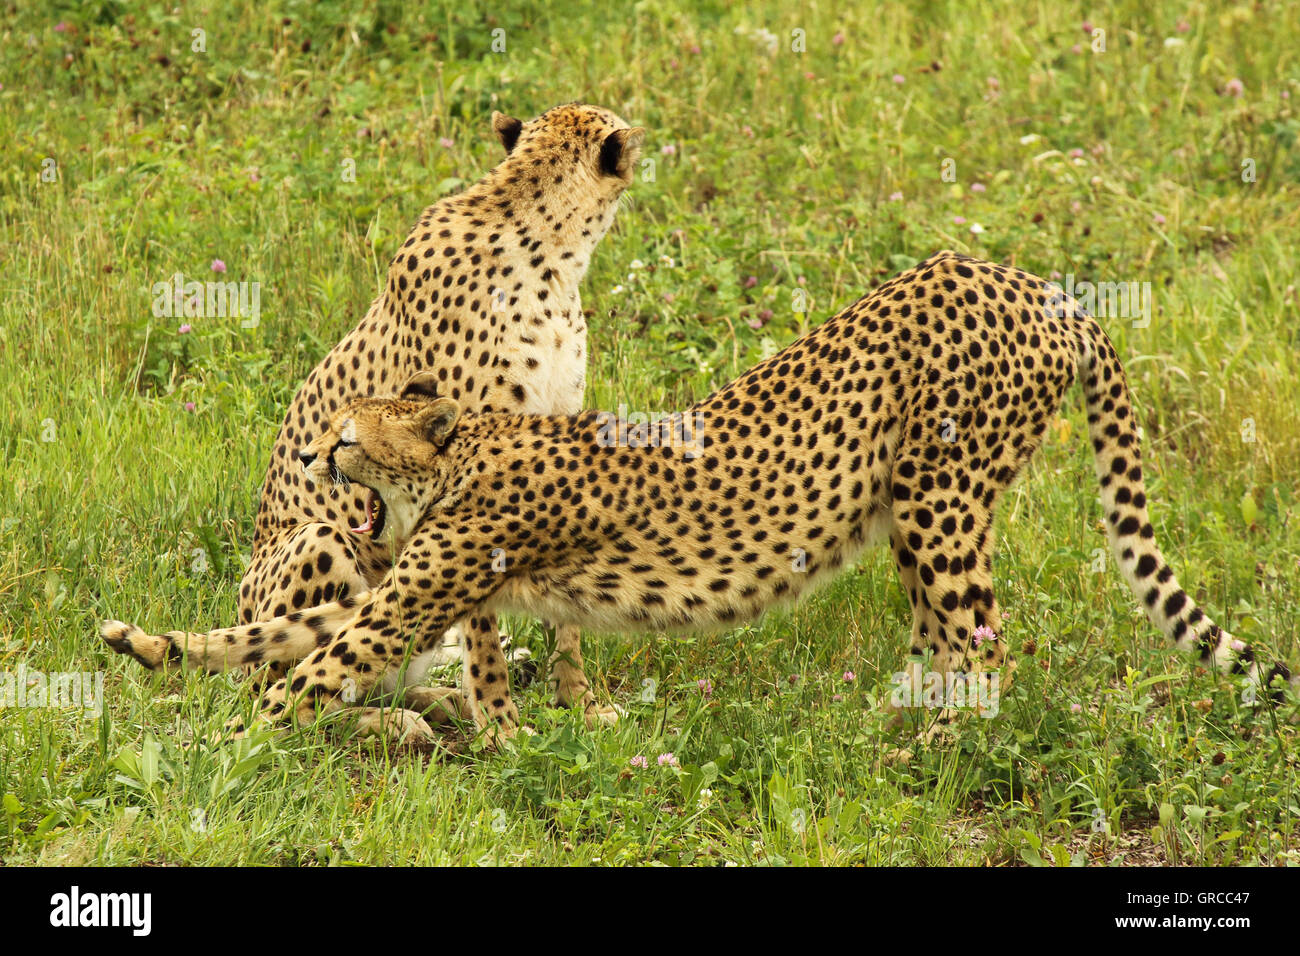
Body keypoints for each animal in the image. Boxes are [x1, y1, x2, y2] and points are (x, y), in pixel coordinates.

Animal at [101, 251, 1295, 746]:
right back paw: (885, 728)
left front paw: (224, 757)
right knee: (943, 638)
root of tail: (1041, 289)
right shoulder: (437, 584)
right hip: (920, 509)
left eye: (348, 438)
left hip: (941, 498)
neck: (462, 455)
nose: (318, 459)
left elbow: (307, 671)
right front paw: (142, 646)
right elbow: (277, 638)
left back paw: (934, 755)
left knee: (983, 643)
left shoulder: (426, 583)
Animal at [231, 102, 643, 727]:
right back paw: (400, 724)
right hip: (316, 541)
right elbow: (480, 629)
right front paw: (500, 722)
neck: (552, 257)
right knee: (287, 692)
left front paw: (578, 702)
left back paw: (436, 701)